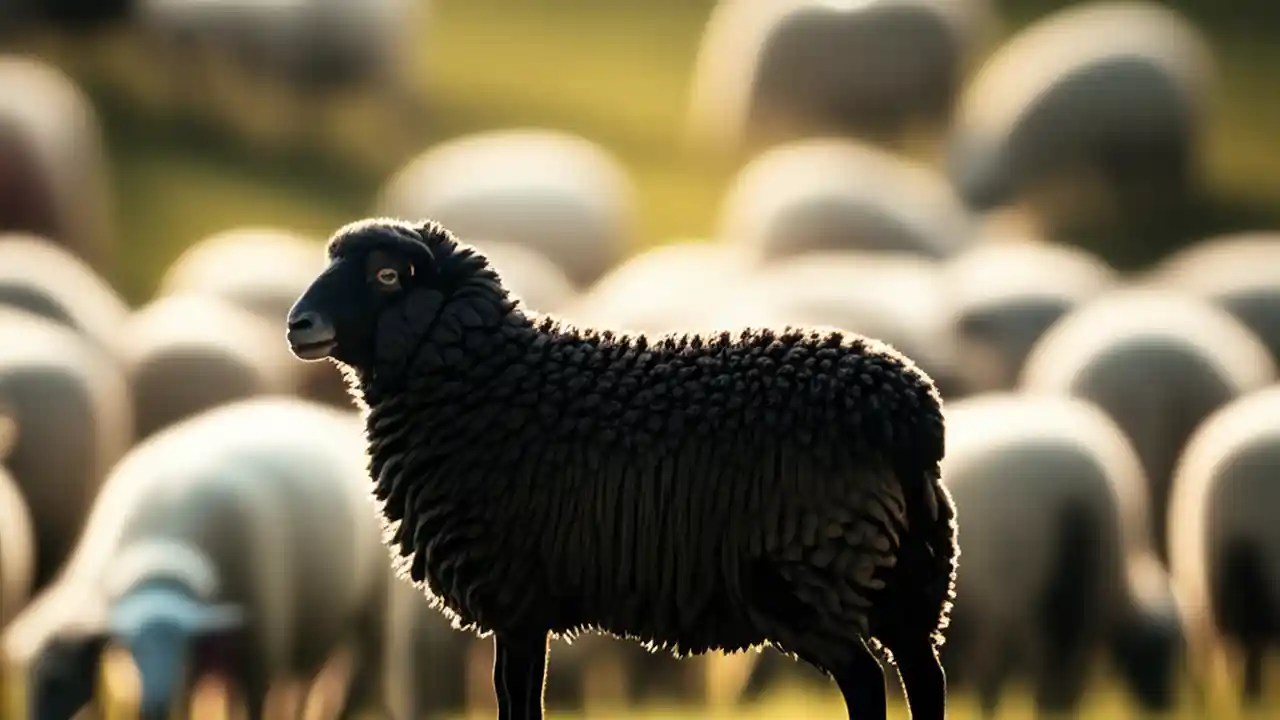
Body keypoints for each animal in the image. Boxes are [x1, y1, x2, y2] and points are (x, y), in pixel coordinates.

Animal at [0, 397, 387, 719]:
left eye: (57, 679)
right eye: (132, 648)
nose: (153, 704)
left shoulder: (259, 656)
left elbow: (256, 708)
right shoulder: (196, 664)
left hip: (370, 614)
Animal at [285, 218, 957, 720]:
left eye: (387, 275)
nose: (298, 323)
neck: (486, 378)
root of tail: (911, 412)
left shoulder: (516, 594)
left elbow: (519, 698)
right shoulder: (521, 604)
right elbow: (512, 694)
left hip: (808, 572)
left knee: (866, 681)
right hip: (907, 576)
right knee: (924, 675)